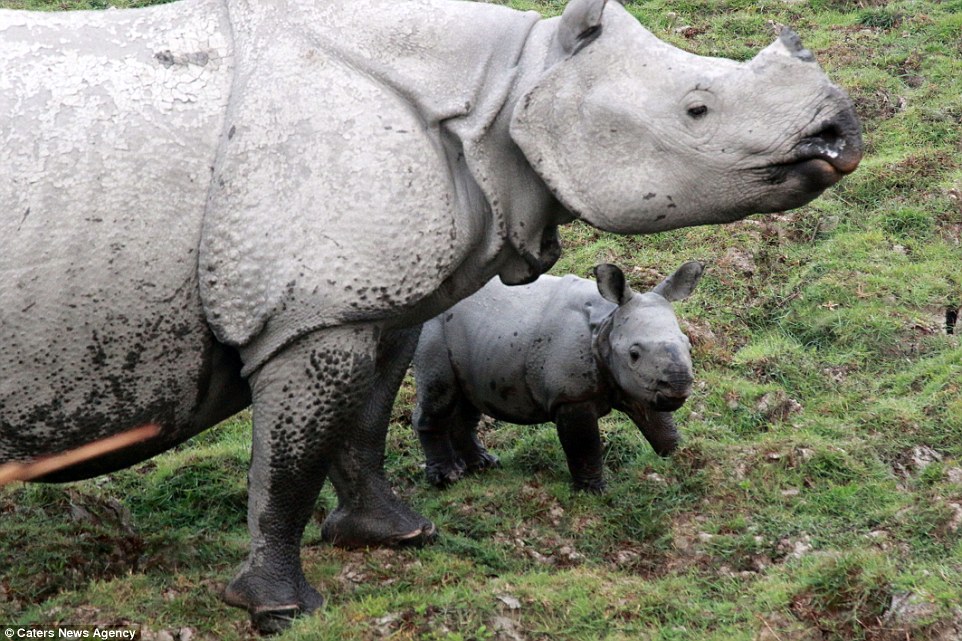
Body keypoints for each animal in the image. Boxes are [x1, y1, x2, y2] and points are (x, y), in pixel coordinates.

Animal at [413, 262, 704, 493]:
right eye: (634, 354)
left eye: (689, 346)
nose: (677, 386)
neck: (608, 322)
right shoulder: (570, 396)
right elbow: (584, 446)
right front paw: (593, 493)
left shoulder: (639, 384)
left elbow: (659, 424)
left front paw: (681, 457)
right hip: (433, 329)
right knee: (439, 396)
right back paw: (448, 479)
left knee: (468, 400)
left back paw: (484, 466)